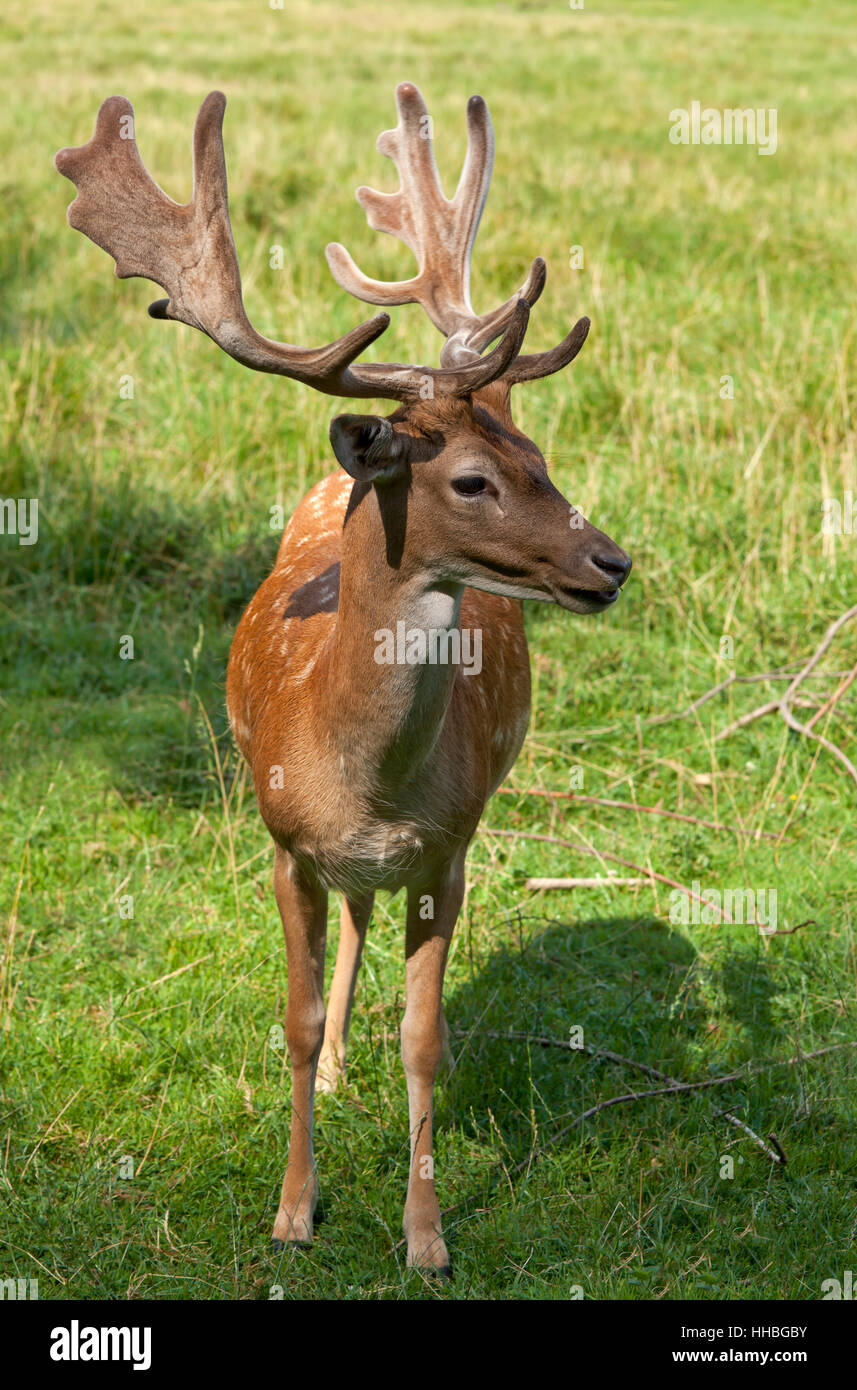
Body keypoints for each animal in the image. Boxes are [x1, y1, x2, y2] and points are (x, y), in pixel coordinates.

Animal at [55, 82, 631, 1278]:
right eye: (472, 478)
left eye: (541, 459)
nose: (611, 563)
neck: (361, 780)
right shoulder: (281, 841)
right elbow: (296, 1017)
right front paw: (291, 1210)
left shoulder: (448, 845)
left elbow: (418, 1035)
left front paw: (426, 1235)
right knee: (347, 936)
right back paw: (330, 1078)